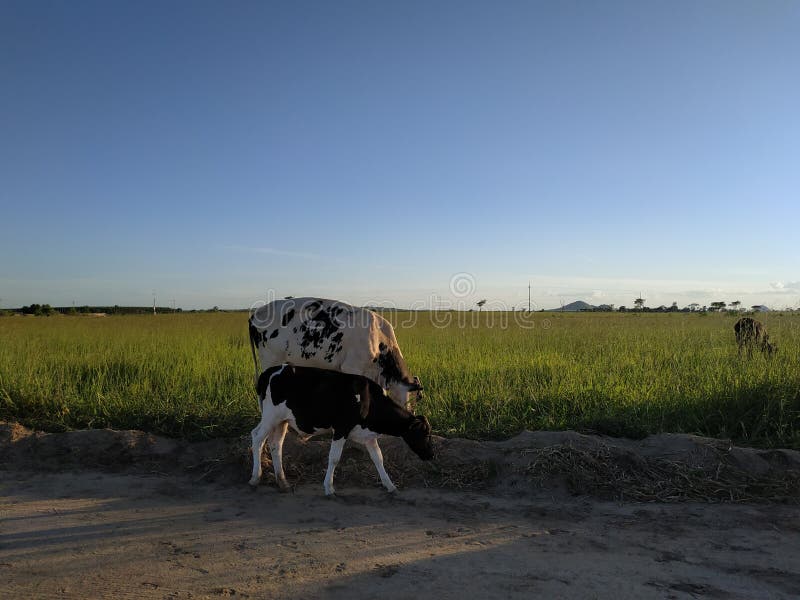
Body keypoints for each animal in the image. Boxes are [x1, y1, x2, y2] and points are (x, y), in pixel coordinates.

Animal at [249, 364, 434, 495]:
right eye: (424, 434)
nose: (431, 455)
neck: (369, 399)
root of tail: (269, 371)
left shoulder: (368, 436)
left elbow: (378, 458)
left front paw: (390, 485)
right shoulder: (341, 429)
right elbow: (334, 458)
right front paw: (329, 487)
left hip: (282, 421)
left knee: (275, 444)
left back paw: (282, 481)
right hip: (270, 416)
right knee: (257, 438)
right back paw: (255, 478)